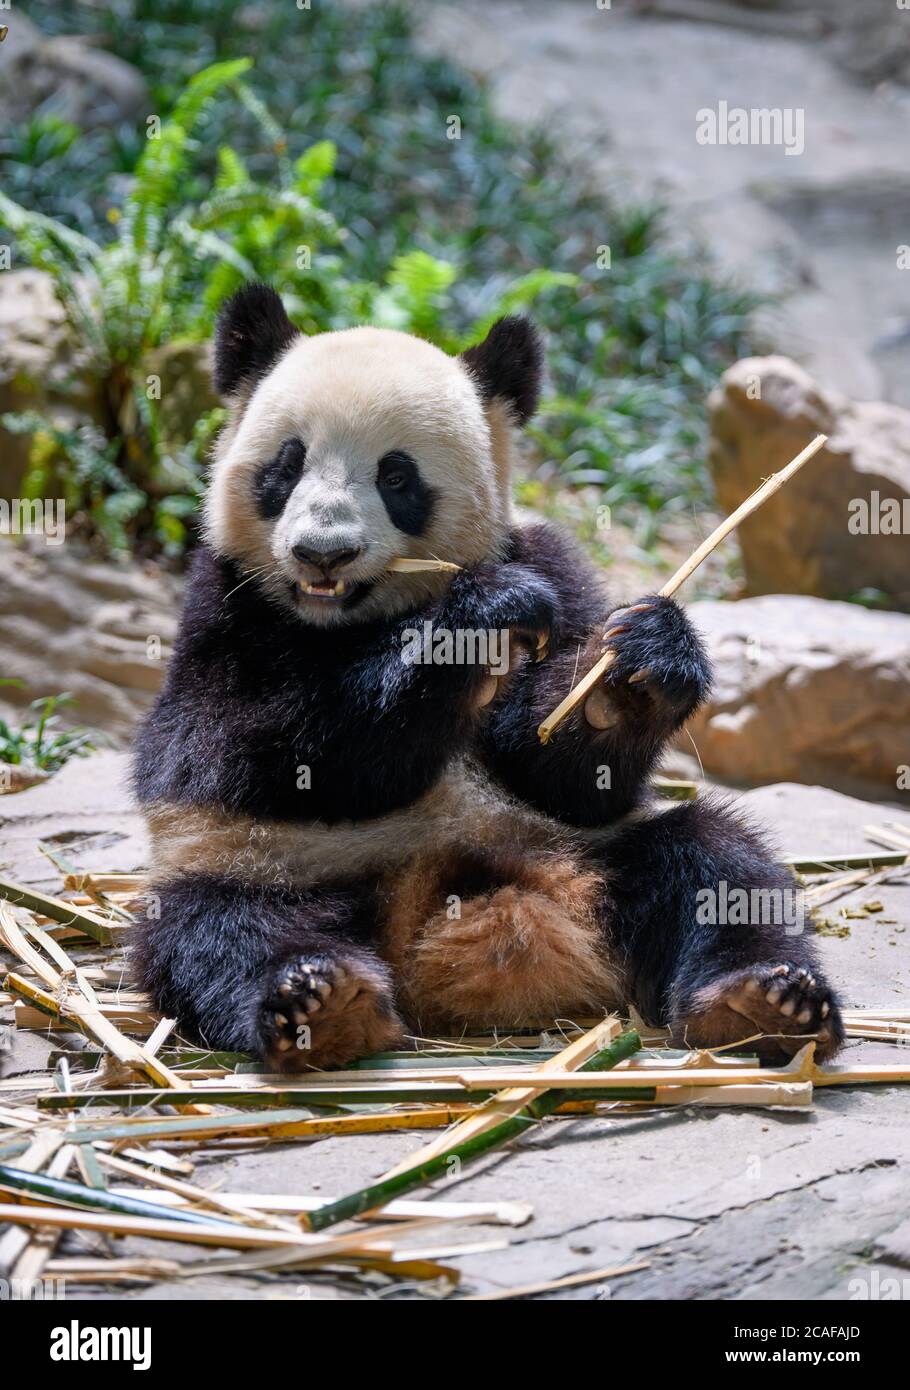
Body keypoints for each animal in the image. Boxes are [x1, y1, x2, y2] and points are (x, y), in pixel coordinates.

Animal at [132, 283, 844, 1071]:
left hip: (591, 852)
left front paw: (631, 670)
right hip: (263, 865)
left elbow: (564, 775)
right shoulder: (223, 604)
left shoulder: (548, 558)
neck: (354, 619)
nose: (323, 553)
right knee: (222, 932)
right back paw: (321, 1001)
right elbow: (237, 749)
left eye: (396, 475)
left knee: (716, 867)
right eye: (287, 466)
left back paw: (764, 999)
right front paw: (479, 622)